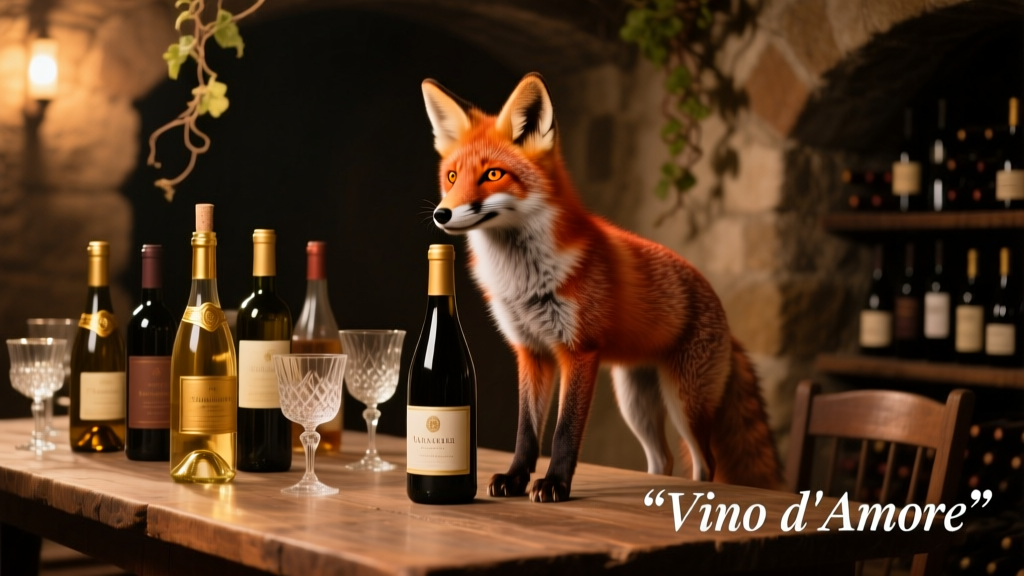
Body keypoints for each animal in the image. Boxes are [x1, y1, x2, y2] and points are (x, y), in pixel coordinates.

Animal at [421, 73, 783, 503]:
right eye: (452, 177)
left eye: (493, 174)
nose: (441, 214)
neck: (523, 279)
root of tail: (724, 316)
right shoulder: (531, 352)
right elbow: (526, 433)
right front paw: (514, 478)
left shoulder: (579, 351)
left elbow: (564, 433)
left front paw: (555, 484)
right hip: (636, 403)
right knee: (662, 460)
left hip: (685, 404)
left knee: (704, 462)